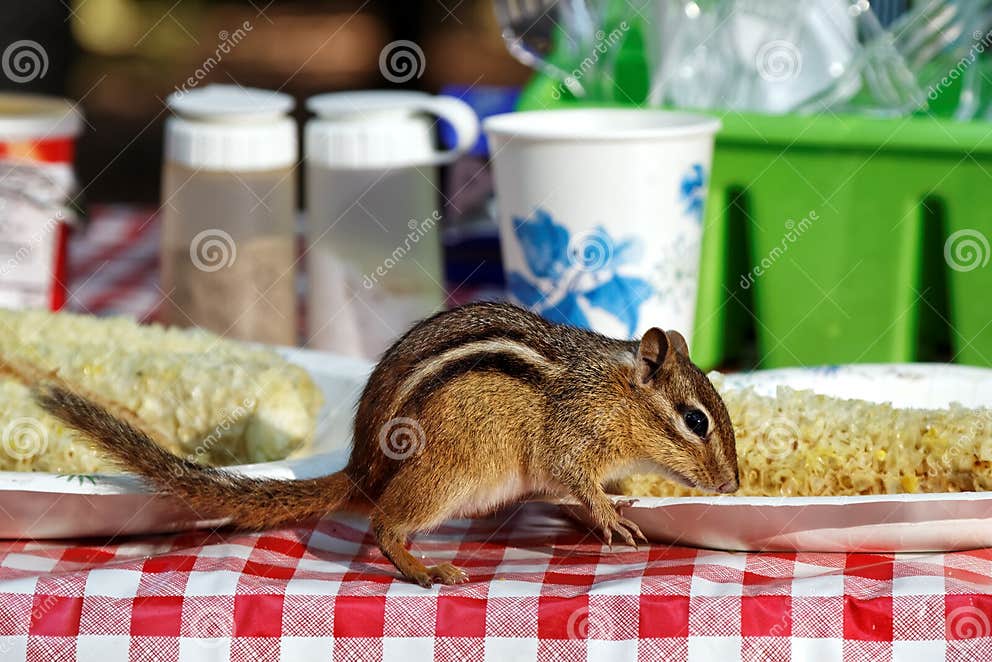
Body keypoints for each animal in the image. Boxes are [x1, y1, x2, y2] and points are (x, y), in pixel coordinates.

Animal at [35, 301, 738, 588]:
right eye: (695, 419)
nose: (732, 485)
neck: (614, 393)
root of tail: (359, 468)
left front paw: (621, 501)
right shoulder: (572, 435)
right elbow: (576, 479)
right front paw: (610, 515)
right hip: (448, 476)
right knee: (383, 524)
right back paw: (423, 568)